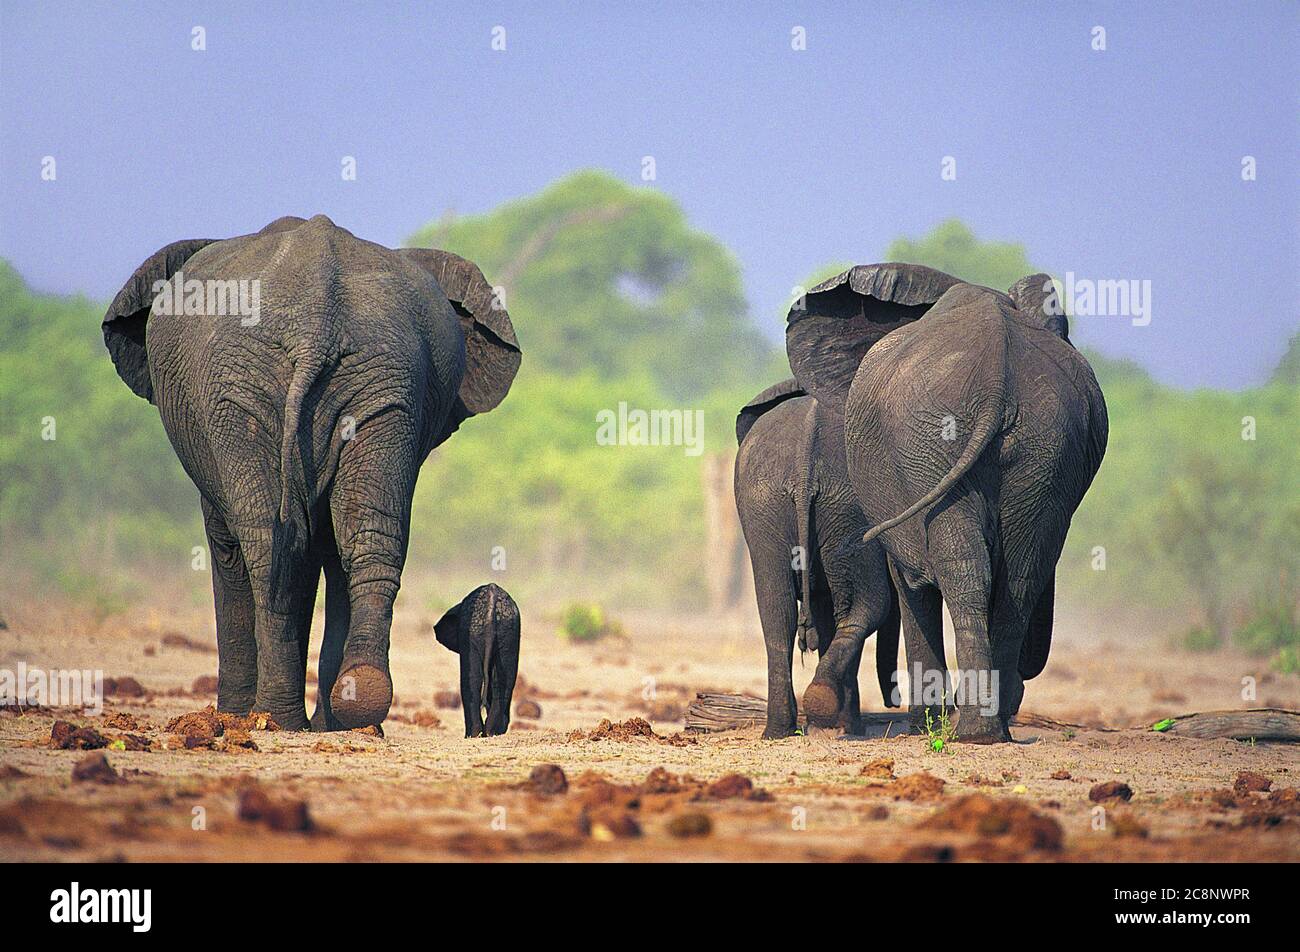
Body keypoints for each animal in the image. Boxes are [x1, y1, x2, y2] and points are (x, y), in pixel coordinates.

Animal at [734, 378, 900, 739]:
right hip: (849, 509)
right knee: (865, 605)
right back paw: (839, 720)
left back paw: (779, 731)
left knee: (777, 612)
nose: (893, 702)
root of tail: (804, 459)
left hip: (766, 504)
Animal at [785, 263, 1107, 743]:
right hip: (1040, 445)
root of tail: (997, 374)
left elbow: (909, 581)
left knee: (965, 567)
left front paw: (924, 724)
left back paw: (971, 727)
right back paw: (989, 727)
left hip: (934, 444)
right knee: (1019, 572)